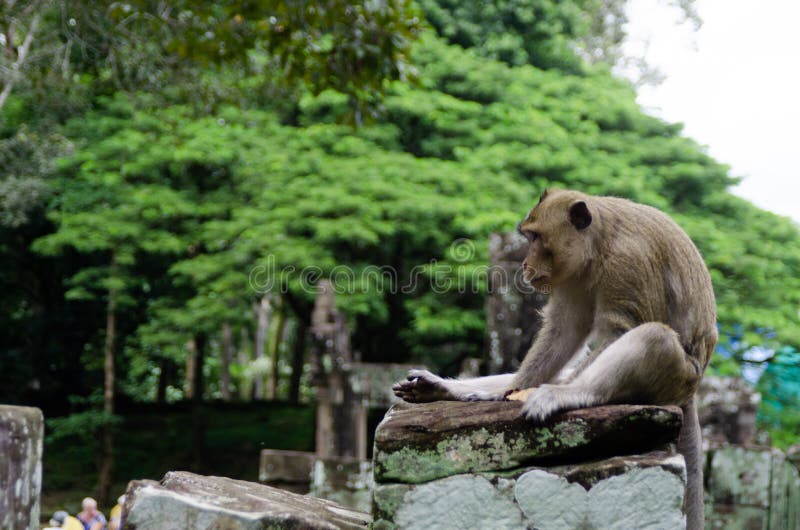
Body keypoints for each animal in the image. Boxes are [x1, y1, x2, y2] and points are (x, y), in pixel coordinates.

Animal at [393, 189, 717, 530]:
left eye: (536, 237)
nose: (525, 263)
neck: (600, 244)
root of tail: (692, 391)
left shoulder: (628, 262)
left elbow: (620, 331)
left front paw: (542, 393)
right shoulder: (571, 275)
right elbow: (564, 331)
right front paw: (505, 393)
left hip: (676, 378)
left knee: (654, 337)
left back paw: (566, 393)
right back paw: (459, 389)